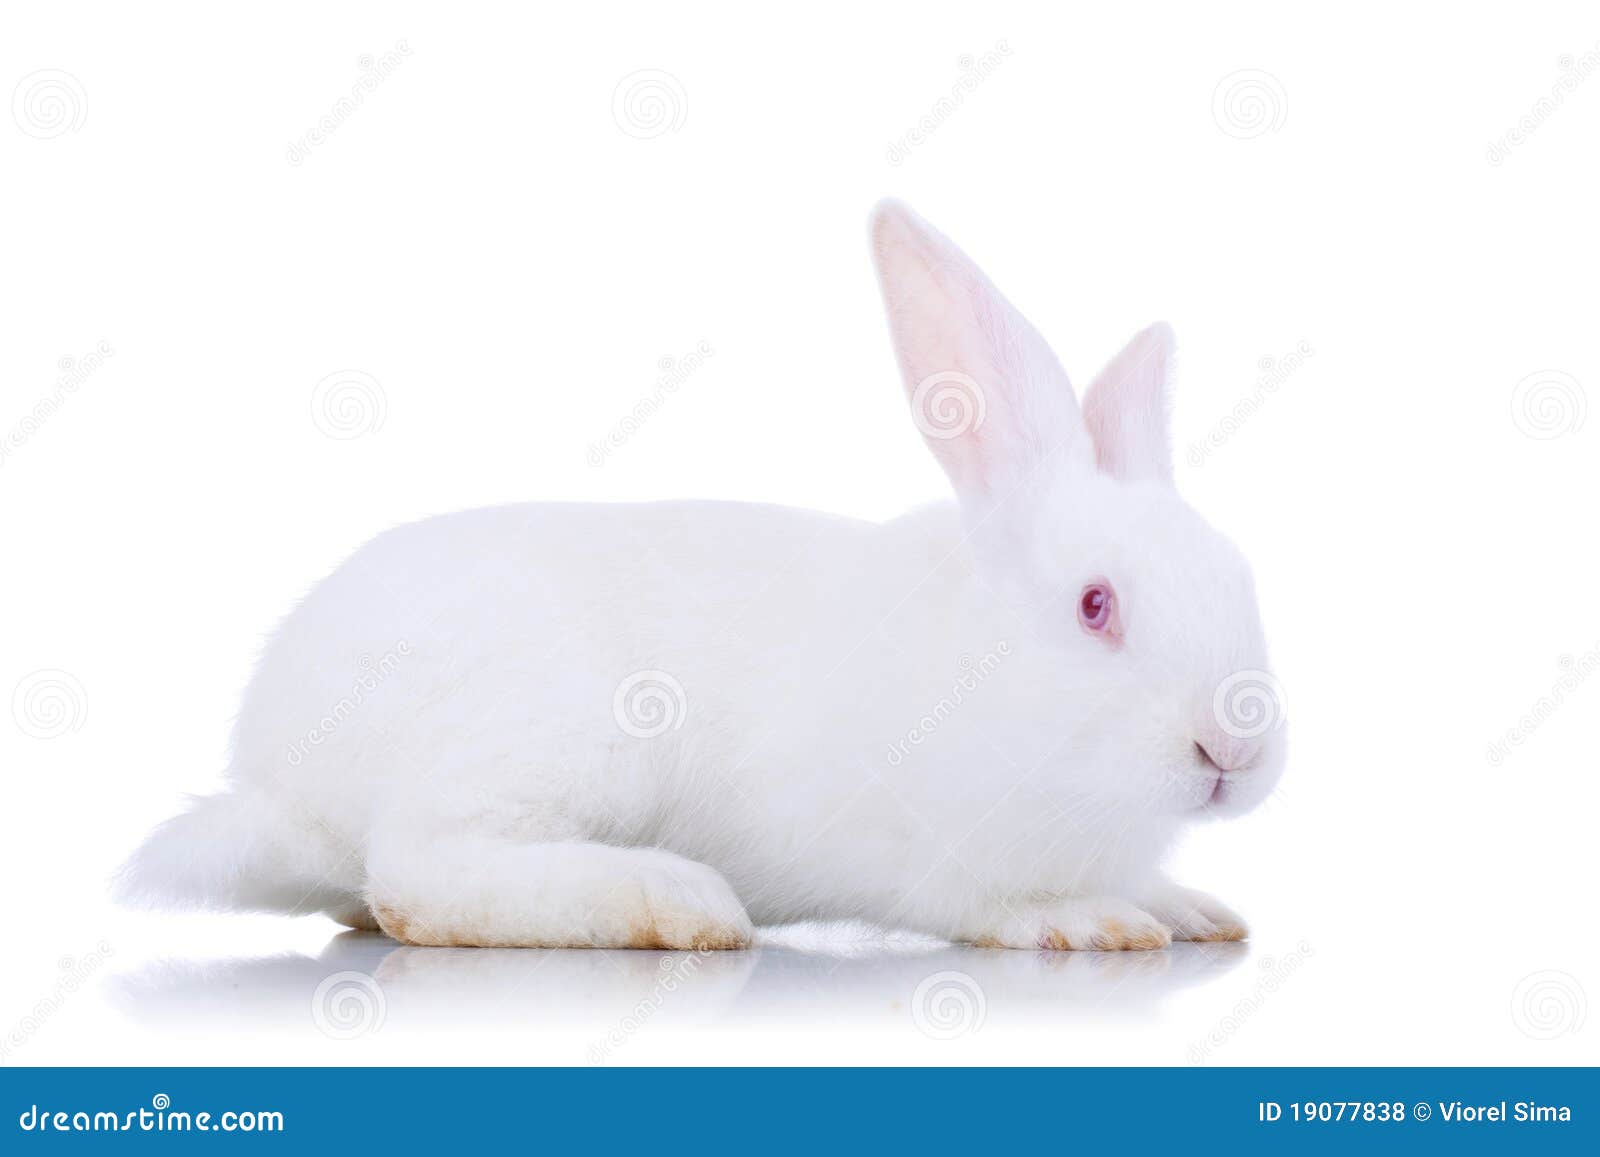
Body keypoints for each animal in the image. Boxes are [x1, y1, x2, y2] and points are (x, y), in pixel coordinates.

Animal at [119, 200, 1287, 951]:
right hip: (559, 742)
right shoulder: (921, 848)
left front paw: (1186, 909)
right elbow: (981, 901)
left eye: (1240, 578)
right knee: (419, 874)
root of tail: (276, 779)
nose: (1233, 750)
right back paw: (675, 903)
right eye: (1095, 606)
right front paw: (1090, 921)